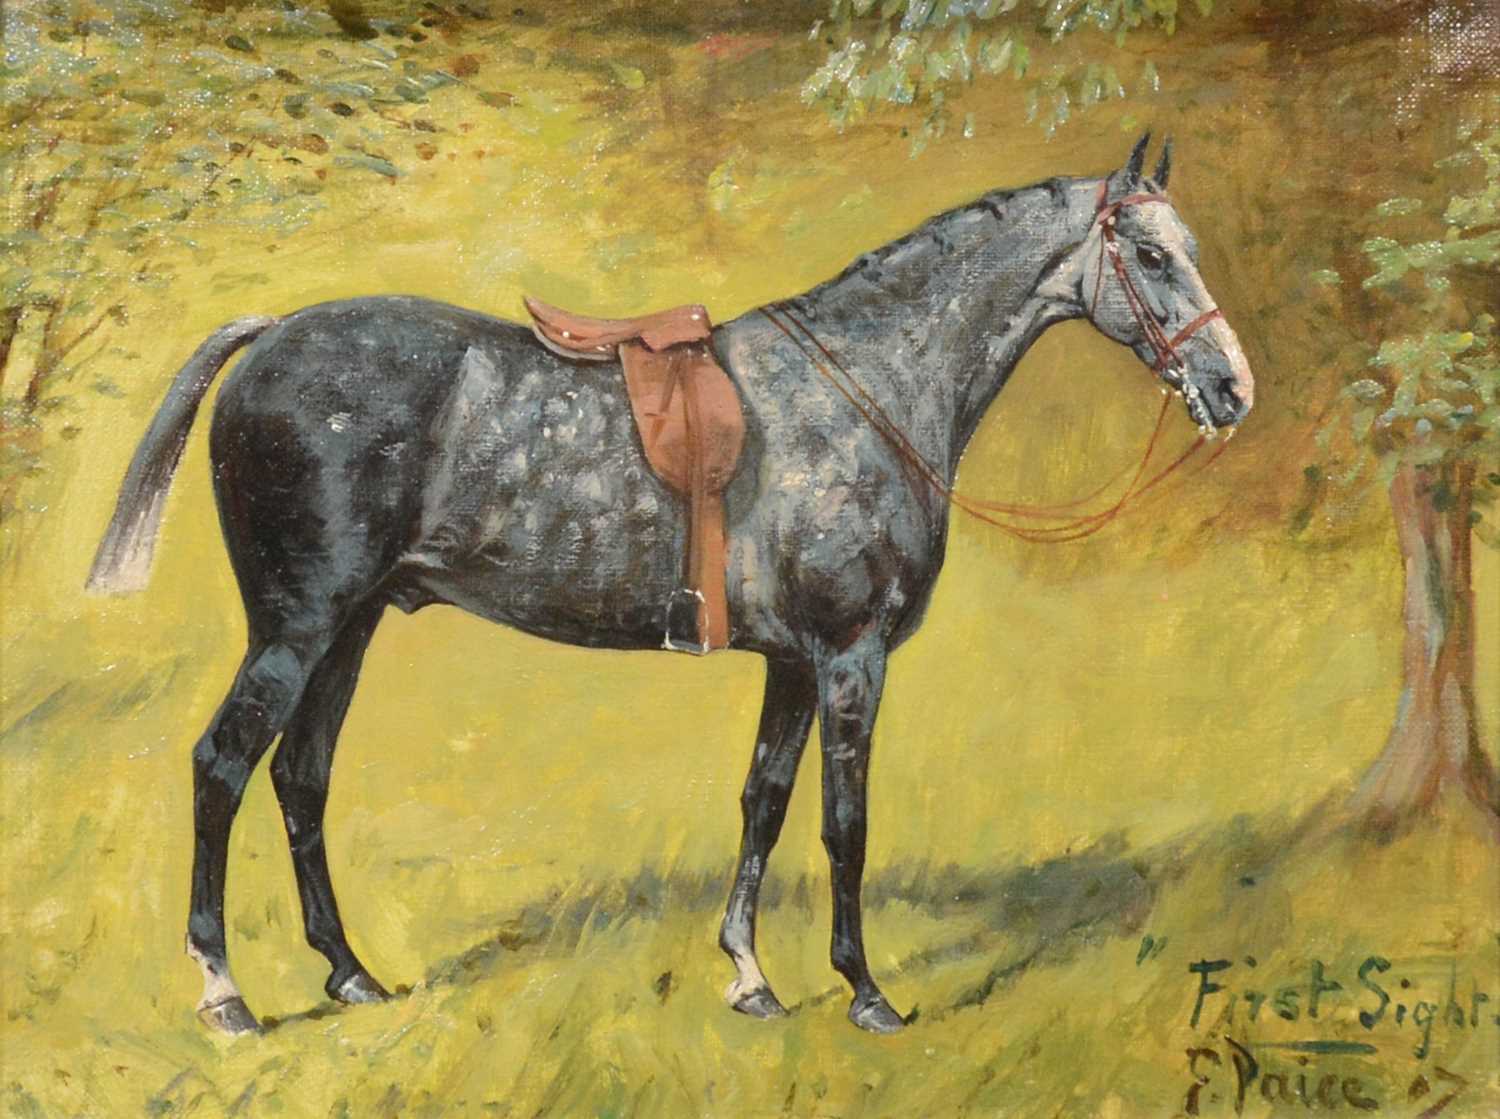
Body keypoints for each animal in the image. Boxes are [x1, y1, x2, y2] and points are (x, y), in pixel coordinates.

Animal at [88, 134, 1253, 1036]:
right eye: (1152, 254)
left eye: (1190, 250)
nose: (1231, 386)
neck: (866, 384)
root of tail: (269, 337)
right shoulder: (850, 658)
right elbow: (845, 824)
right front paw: (866, 991)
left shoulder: (792, 663)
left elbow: (764, 803)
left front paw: (750, 976)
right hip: (298, 625)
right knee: (222, 766)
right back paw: (225, 994)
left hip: (353, 624)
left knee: (302, 777)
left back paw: (350, 973)